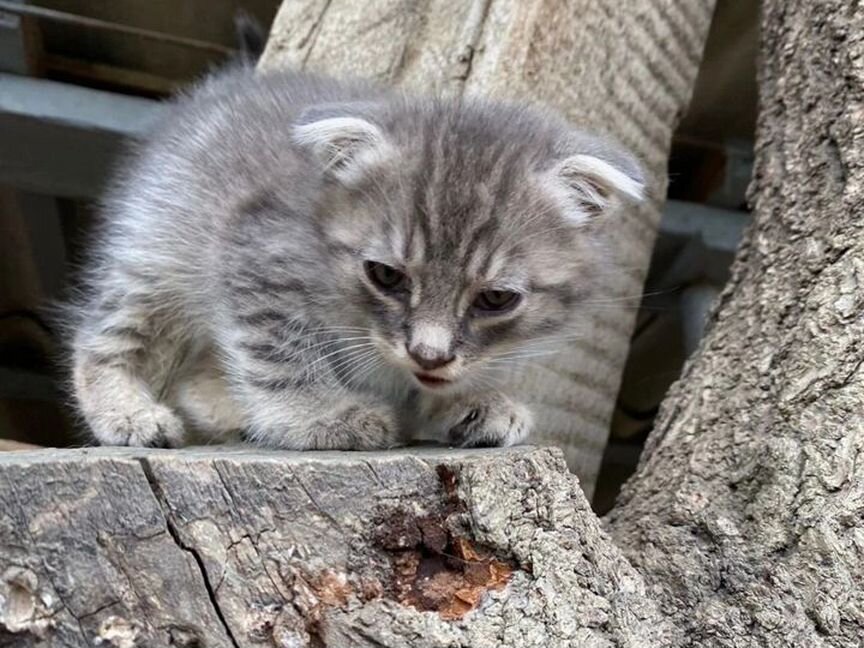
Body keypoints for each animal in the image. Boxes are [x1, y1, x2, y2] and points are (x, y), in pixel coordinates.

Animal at [71, 66, 644, 450]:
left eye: (496, 298)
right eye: (386, 275)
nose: (428, 354)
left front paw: (462, 402)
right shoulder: (258, 253)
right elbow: (279, 352)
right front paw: (320, 414)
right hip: (156, 250)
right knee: (103, 335)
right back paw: (125, 410)